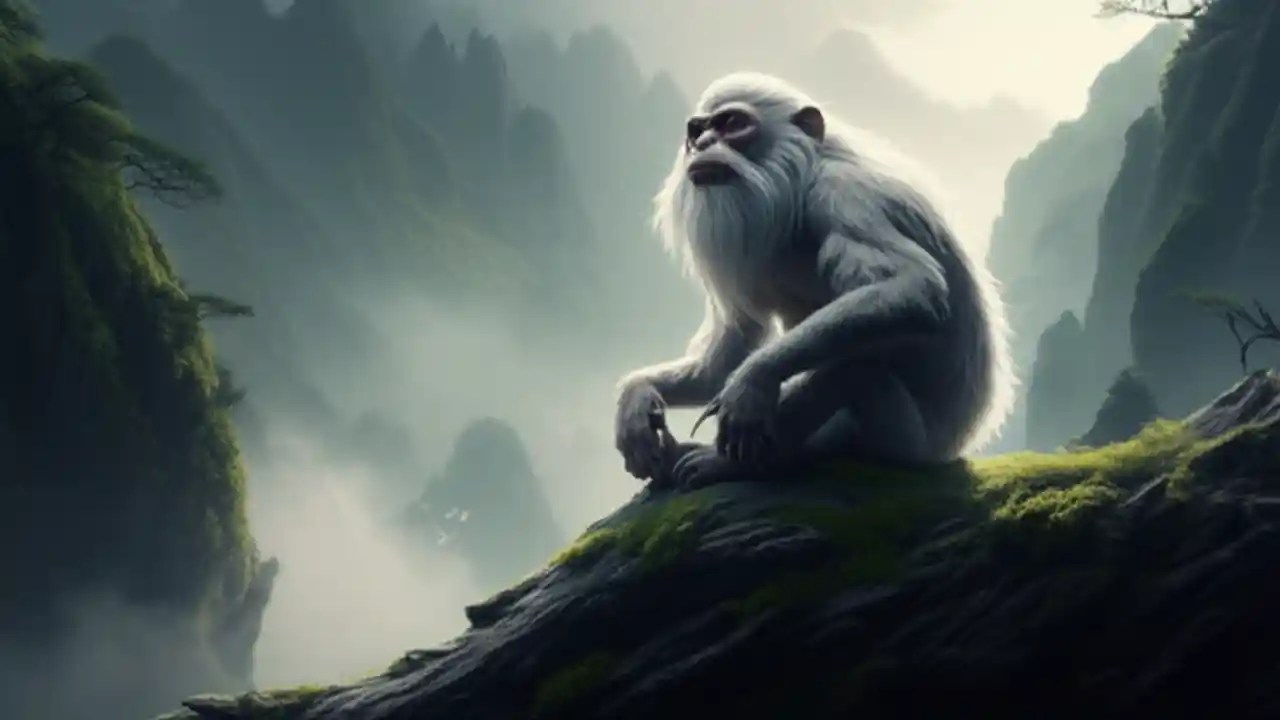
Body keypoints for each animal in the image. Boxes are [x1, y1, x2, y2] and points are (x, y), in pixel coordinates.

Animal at [614, 72, 1015, 488]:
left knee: (859, 367)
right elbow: (731, 350)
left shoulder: (846, 194)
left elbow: (914, 289)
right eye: (697, 131)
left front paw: (752, 380)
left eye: (732, 124)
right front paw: (637, 395)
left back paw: (736, 463)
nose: (704, 144)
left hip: (907, 446)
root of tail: (955, 448)